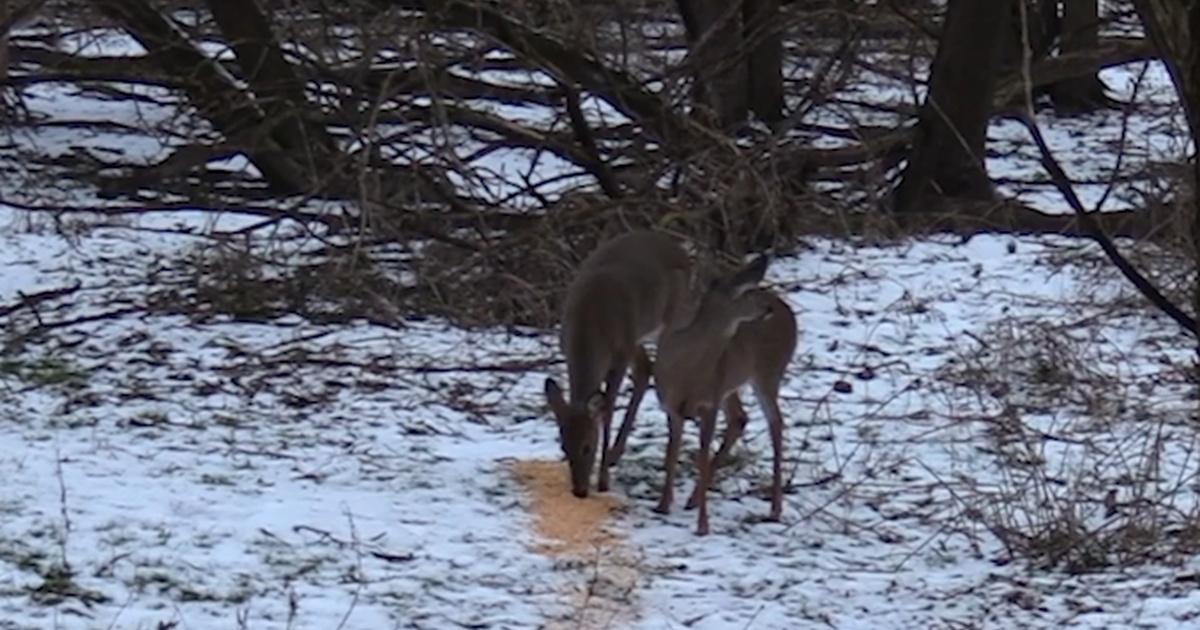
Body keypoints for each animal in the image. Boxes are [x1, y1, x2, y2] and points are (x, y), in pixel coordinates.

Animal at [544, 230, 693, 499]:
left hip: (670, 317)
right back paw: (616, 454)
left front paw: (603, 481)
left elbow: (608, 410)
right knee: (645, 369)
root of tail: (682, 251)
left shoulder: (620, 355)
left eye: (587, 446)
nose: (579, 490)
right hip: (637, 335)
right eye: (563, 447)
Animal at [652, 255, 798, 535]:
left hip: (768, 373)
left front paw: (703, 526)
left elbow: (701, 455)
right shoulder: (672, 406)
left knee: (775, 422)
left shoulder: (709, 403)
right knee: (740, 418)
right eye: (745, 291)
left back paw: (775, 509)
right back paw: (692, 499)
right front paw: (662, 505)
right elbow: (672, 452)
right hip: (732, 384)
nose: (766, 309)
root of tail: (789, 312)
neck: (685, 371)